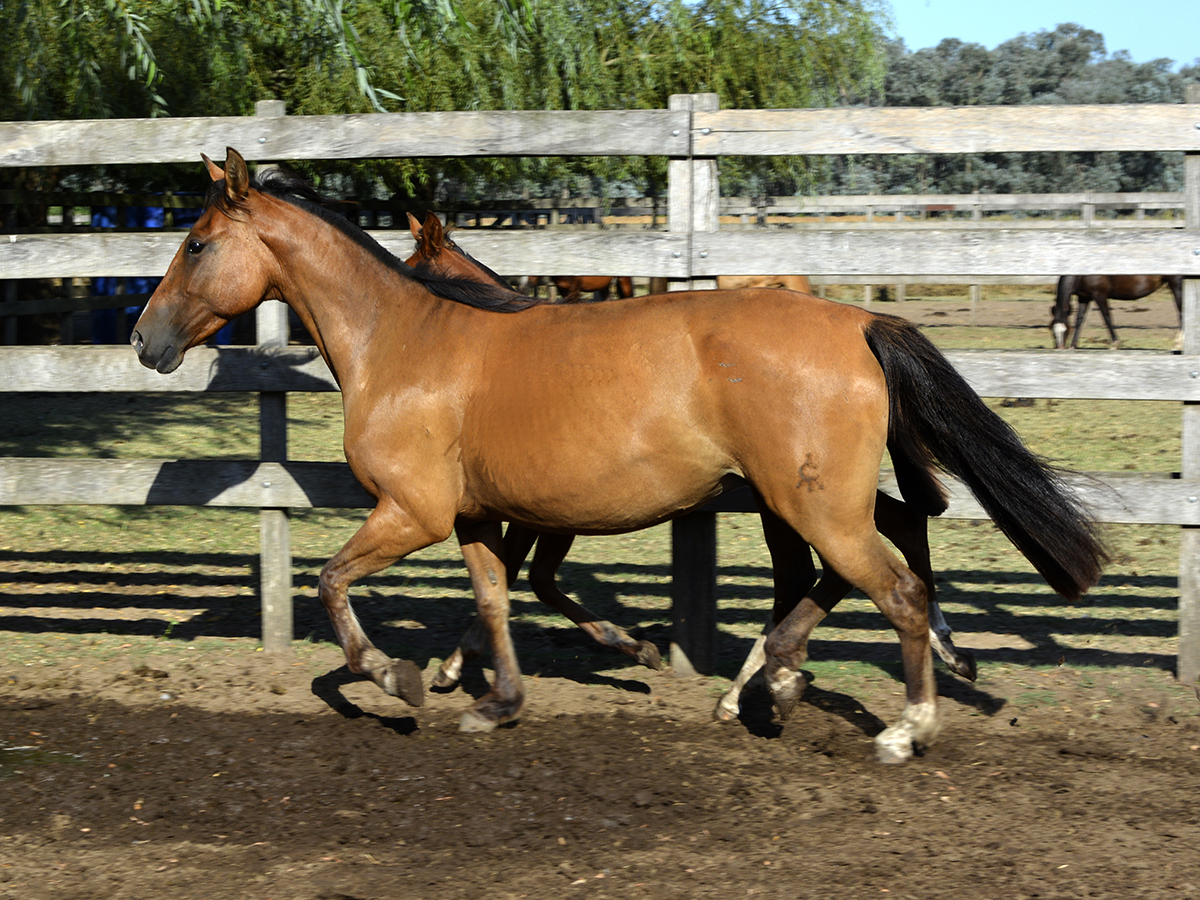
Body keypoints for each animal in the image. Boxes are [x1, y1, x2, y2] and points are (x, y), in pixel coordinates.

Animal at [404, 211, 979, 709]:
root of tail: (862, 322)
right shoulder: (537, 512)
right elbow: (518, 576)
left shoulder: (539, 512)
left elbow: (526, 577)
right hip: (804, 493)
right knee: (894, 526)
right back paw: (943, 652)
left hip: (802, 497)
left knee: (835, 565)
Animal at [1050, 275, 1183, 350]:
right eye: (1052, 331)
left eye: (1066, 330)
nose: (1060, 348)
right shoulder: (1084, 297)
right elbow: (1079, 320)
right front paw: (1073, 345)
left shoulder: (1099, 295)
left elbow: (1107, 318)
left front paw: (1115, 343)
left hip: (1177, 285)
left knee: (1181, 312)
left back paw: (1178, 343)